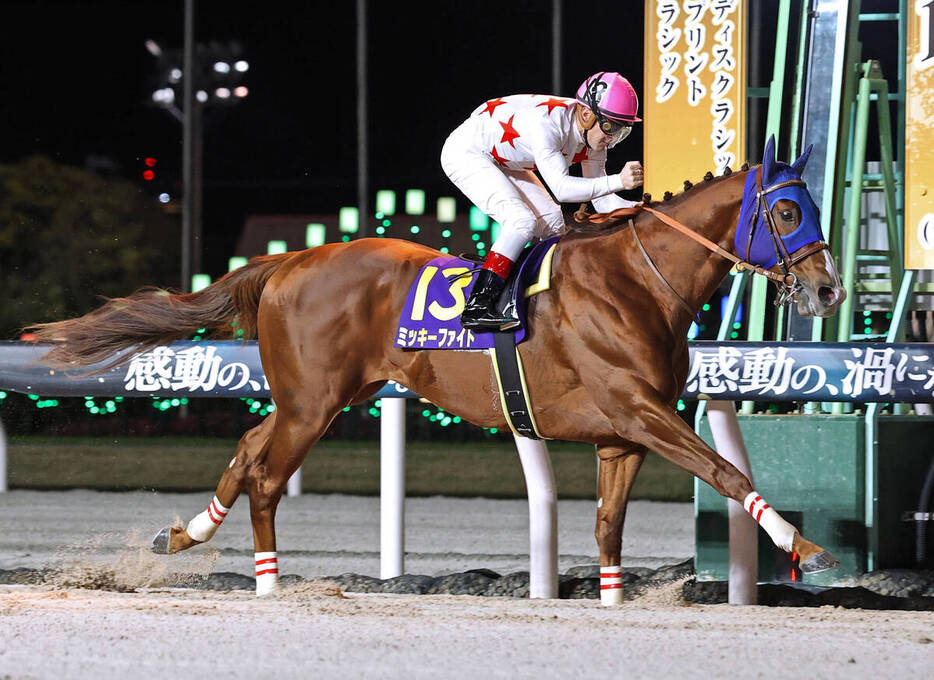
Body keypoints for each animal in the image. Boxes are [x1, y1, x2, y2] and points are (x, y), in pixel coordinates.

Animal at [30, 137, 846, 602]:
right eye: (786, 214)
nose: (829, 290)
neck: (635, 281)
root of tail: (288, 260)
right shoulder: (641, 410)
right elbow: (727, 472)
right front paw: (804, 548)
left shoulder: (622, 436)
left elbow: (609, 523)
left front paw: (612, 598)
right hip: (314, 402)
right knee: (265, 474)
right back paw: (266, 581)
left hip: (316, 396)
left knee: (246, 449)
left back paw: (187, 534)